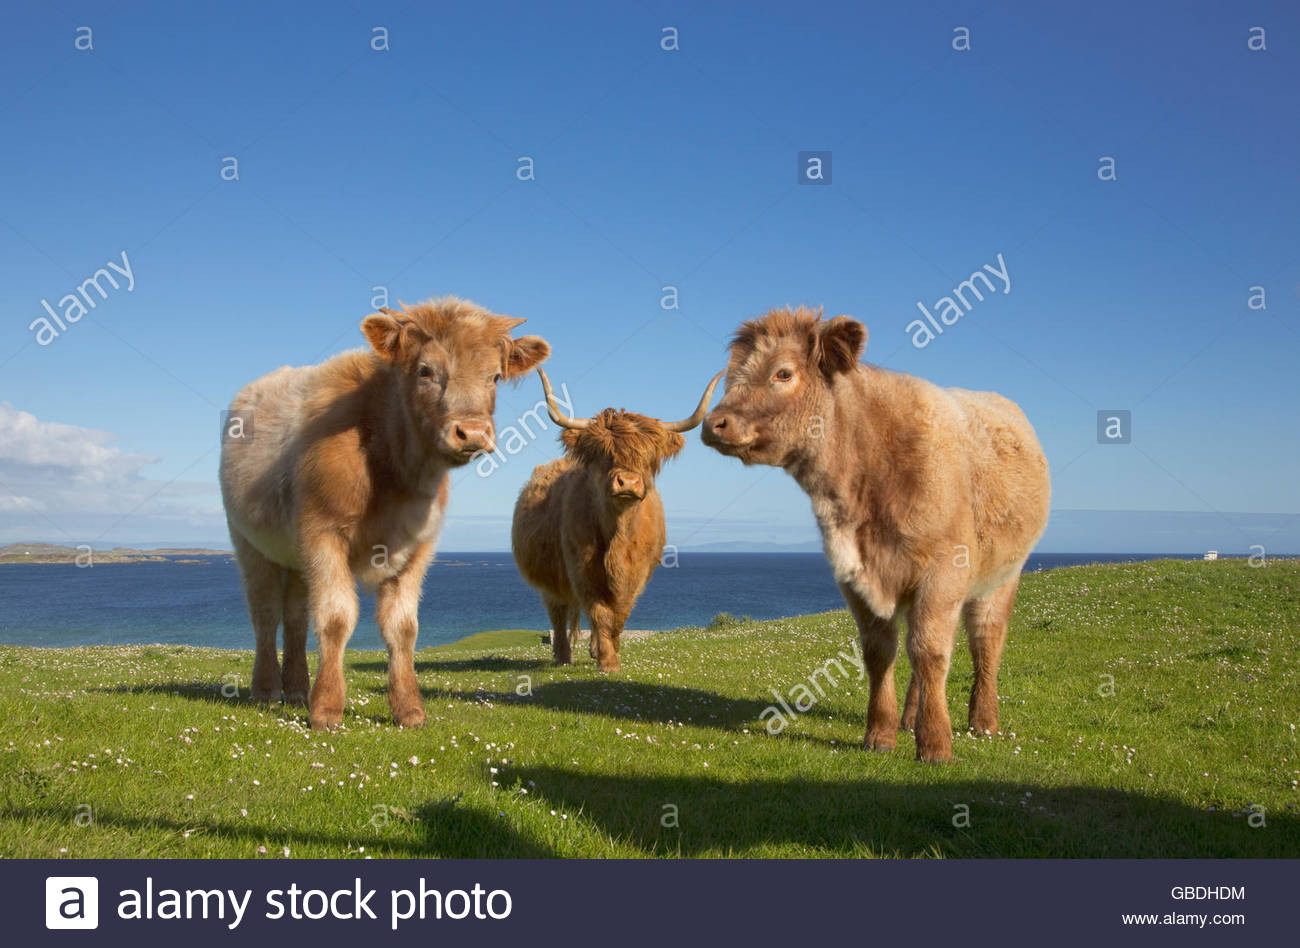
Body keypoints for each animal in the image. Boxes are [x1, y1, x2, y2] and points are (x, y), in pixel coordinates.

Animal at [220, 297, 550, 730]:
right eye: (426, 371)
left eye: (494, 376)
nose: (473, 433)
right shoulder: (322, 534)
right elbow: (335, 617)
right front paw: (327, 709)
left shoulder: (418, 546)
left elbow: (402, 627)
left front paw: (409, 709)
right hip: (249, 542)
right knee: (265, 612)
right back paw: (266, 690)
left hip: (294, 555)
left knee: (294, 617)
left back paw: (296, 690)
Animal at [511, 369, 722, 672]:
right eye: (604, 453)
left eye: (647, 457)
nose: (629, 482)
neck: (619, 535)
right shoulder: (582, 569)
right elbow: (599, 612)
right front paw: (608, 662)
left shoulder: (637, 573)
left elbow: (619, 614)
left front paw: (611, 651)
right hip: (549, 578)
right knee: (558, 613)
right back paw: (563, 656)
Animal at [701, 306, 1050, 761]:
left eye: (783, 373)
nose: (713, 424)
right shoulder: (855, 578)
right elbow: (881, 653)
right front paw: (880, 734)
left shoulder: (944, 571)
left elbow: (931, 652)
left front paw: (935, 744)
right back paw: (909, 718)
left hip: (1003, 574)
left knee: (985, 640)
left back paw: (983, 720)